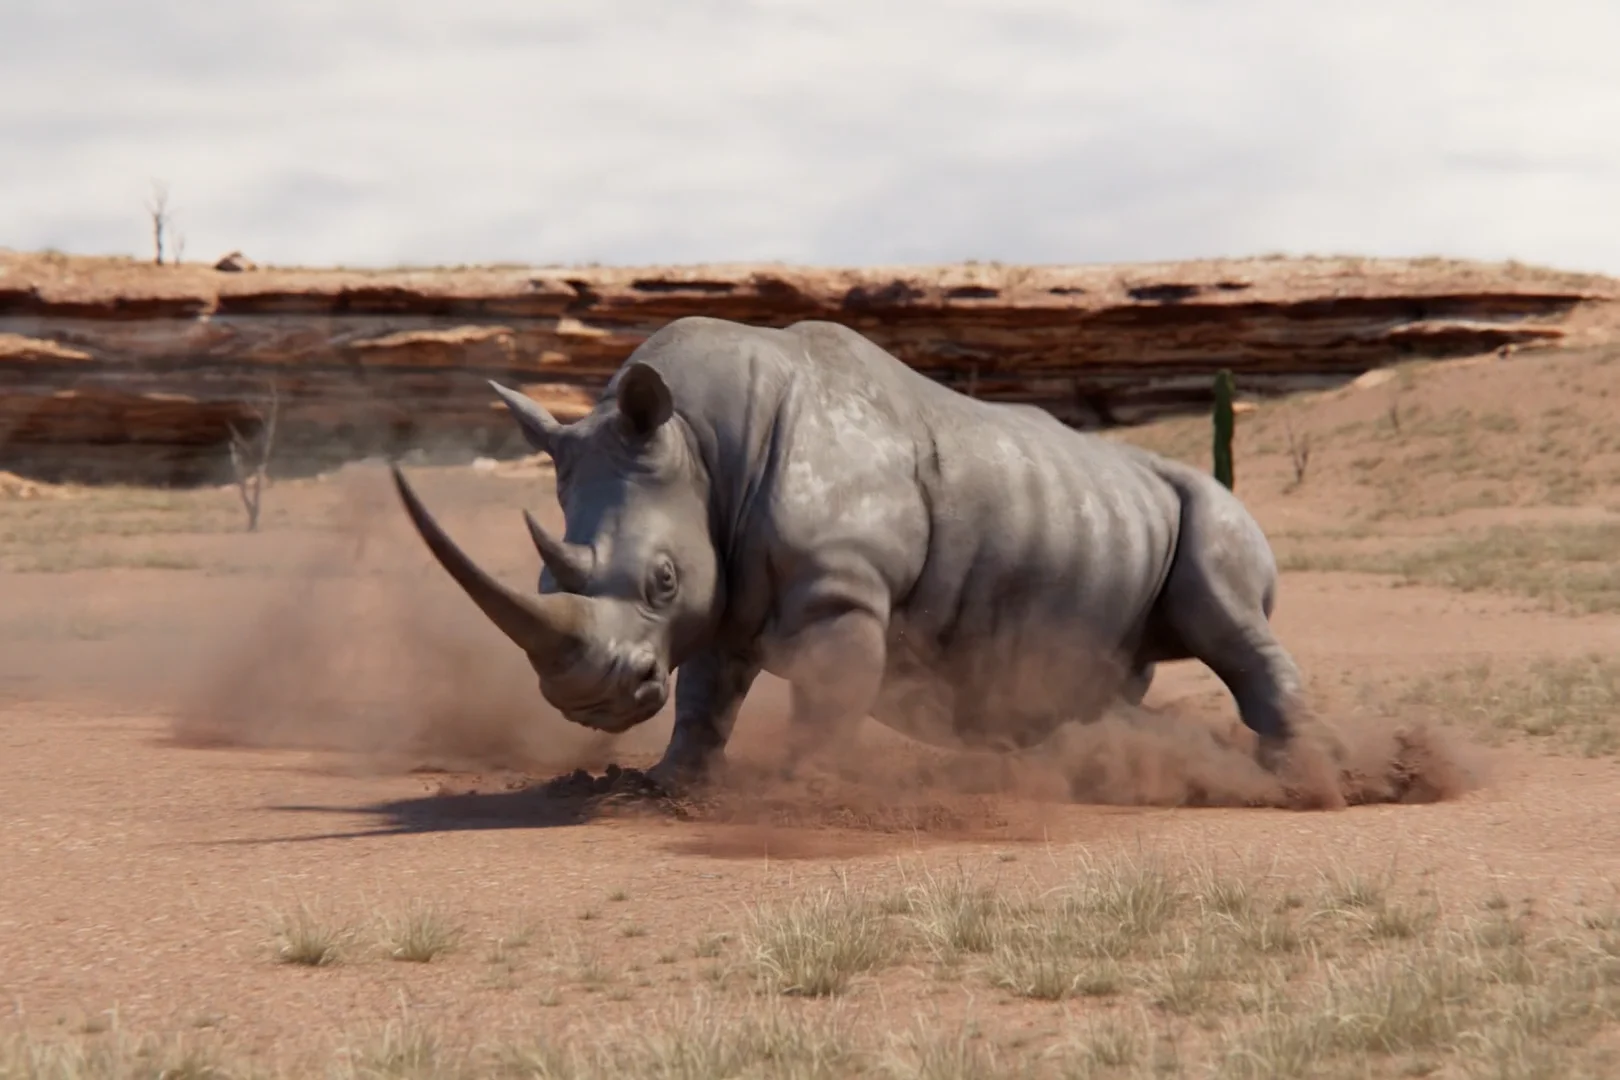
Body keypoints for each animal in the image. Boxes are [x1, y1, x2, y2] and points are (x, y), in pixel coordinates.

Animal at [390, 316, 1333, 800]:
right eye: (546, 576)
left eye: (661, 579)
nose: (589, 700)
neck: (701, 440)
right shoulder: (728, 597)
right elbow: (705, 699)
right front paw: (671, 787)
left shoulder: (839, 588)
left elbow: (824, 696)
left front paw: (795, 795)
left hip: (1214, 513)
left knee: (1225, 620)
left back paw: (1297, 779)